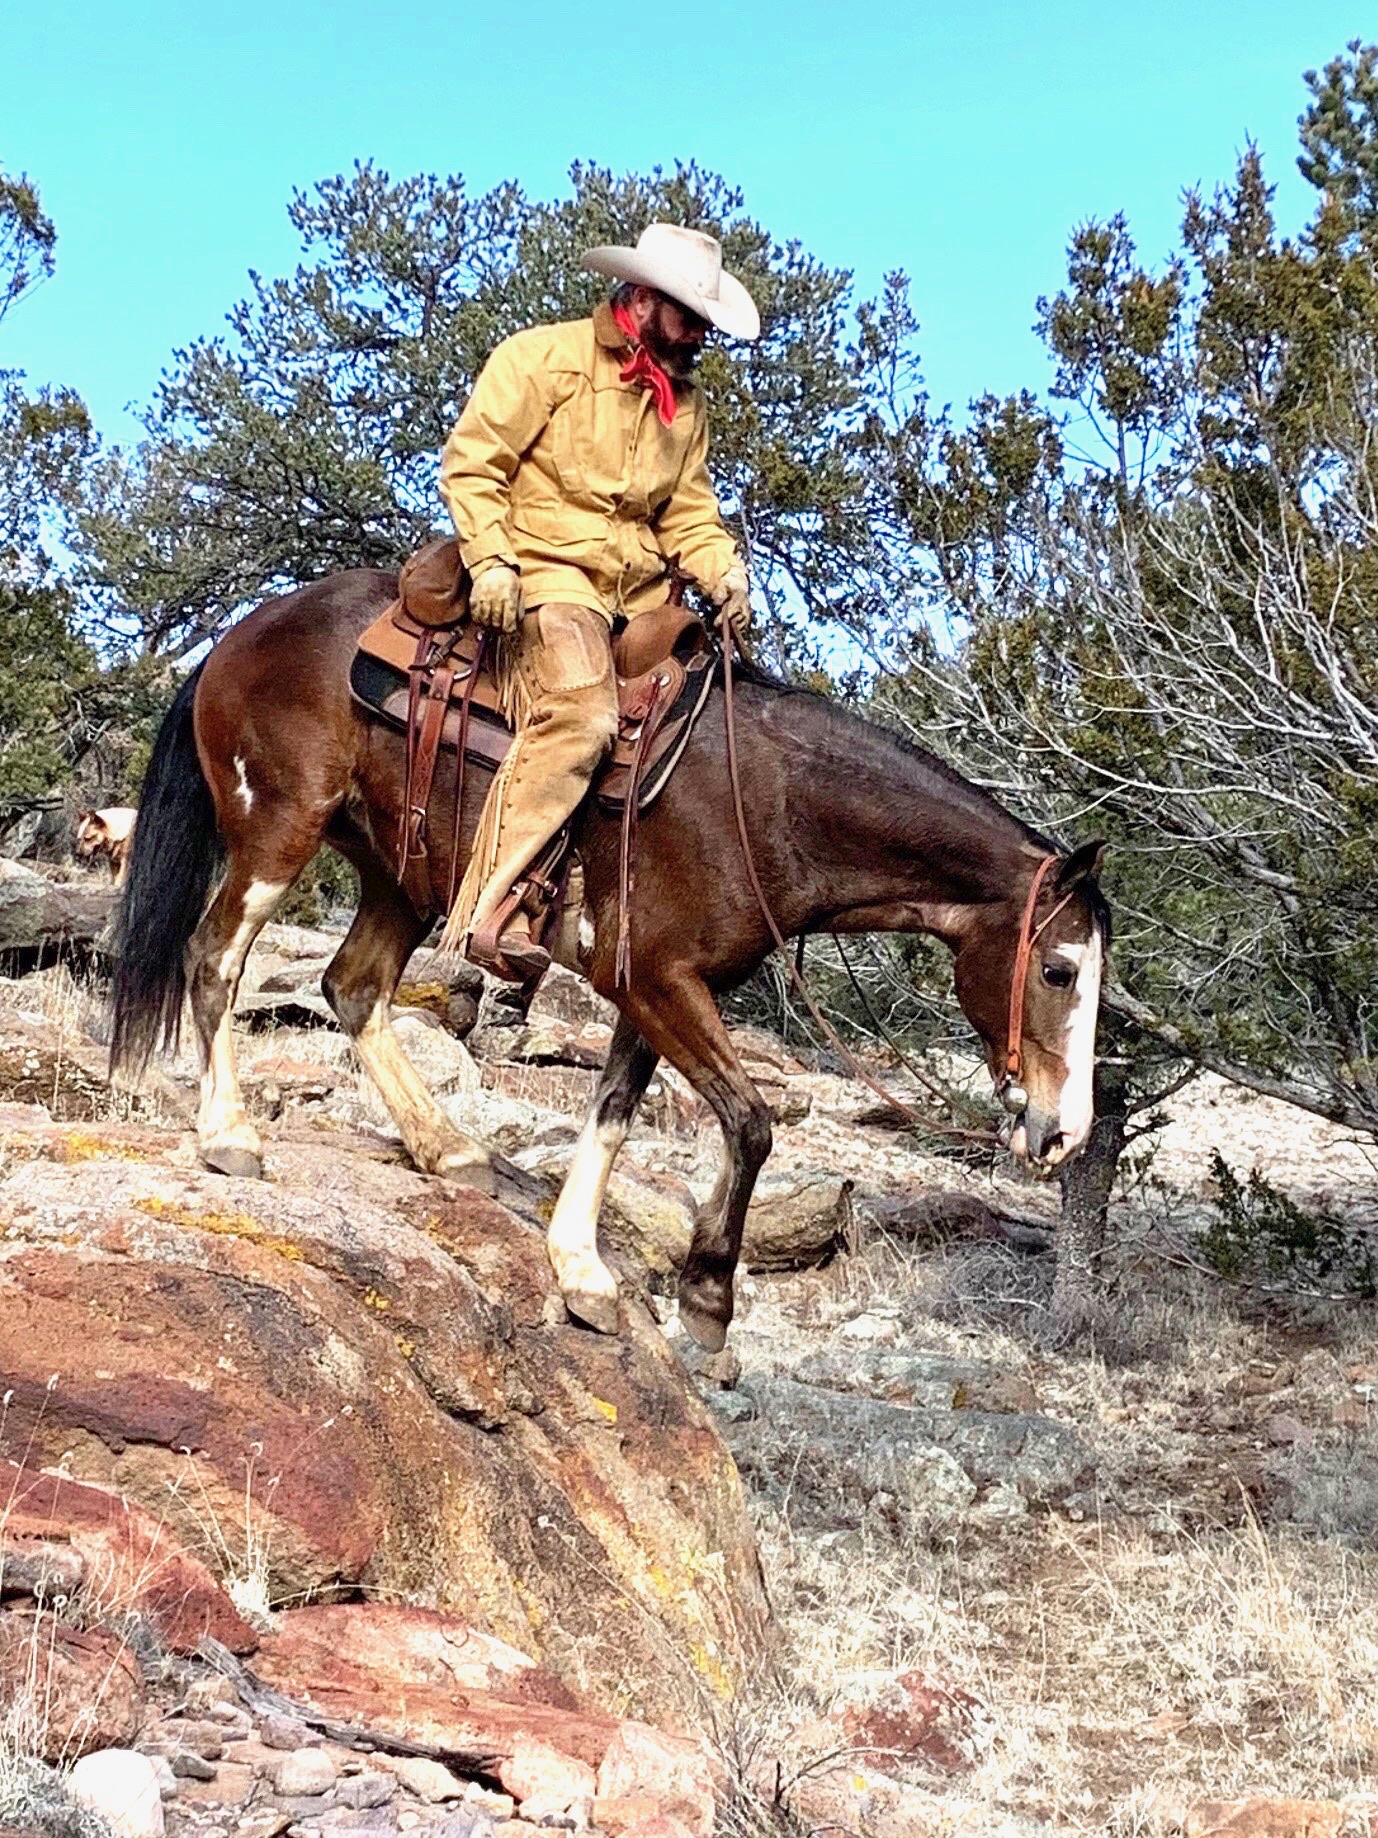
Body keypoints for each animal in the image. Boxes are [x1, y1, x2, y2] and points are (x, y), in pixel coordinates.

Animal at [109, 569, 1109, 1352]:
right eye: (1058, 970)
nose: (1065, 1133)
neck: (768, 804)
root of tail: (237, 636)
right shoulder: (654, 978)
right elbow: (751, 1122)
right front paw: (707, 1298)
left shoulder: (653, 989)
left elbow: (614, 1115)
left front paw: (581, 1270)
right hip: (277, 832)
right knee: (216, 957)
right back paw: (230, 1135)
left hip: (402, 875)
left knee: (353, 987)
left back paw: (449, 1150)